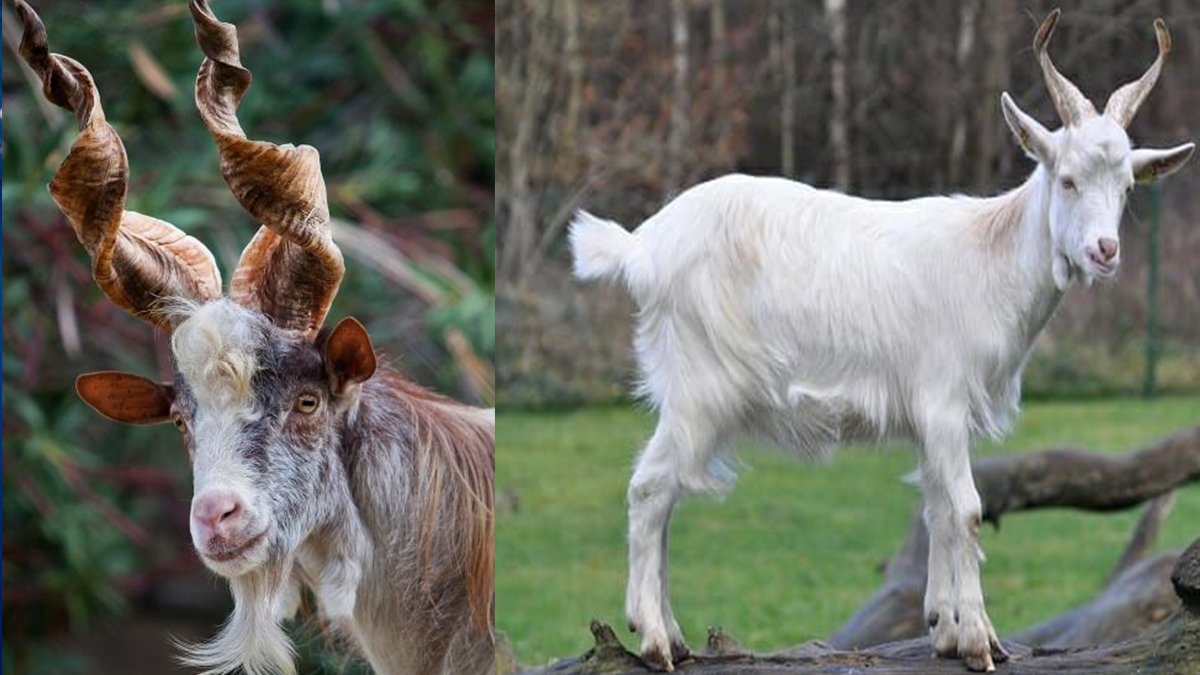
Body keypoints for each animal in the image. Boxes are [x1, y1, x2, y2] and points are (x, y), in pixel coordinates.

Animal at [570, 10, 1192, 673]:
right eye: (1068, 179)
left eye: (1128, 187)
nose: (1105, 251)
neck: (991, 257)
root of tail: (642, 248)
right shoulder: (943, 398)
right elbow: (967, 510)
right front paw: (980, 641)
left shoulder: (936, 415)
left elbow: (937, 510)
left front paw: (943, 629)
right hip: (701, 388)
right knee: (650, 488)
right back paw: (654, 639)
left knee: (662, 494)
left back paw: (674, 635)